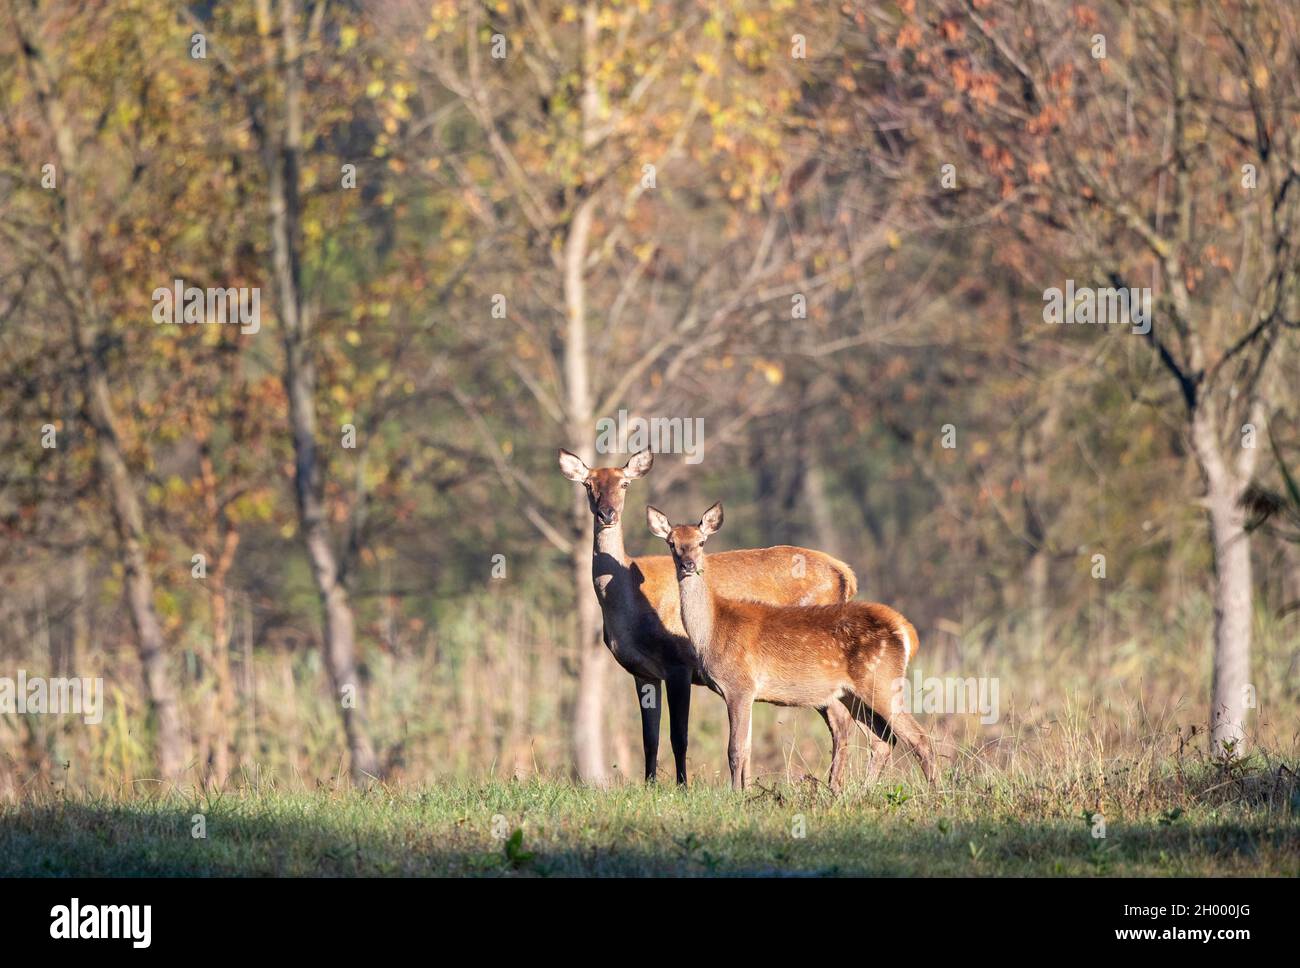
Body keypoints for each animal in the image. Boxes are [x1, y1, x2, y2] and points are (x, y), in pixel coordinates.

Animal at [558, 448, 862, 785]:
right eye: (588, 484)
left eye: (624, 483)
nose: (607, 514)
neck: (628, 614)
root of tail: (846, 573)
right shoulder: (643, 673)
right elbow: (649, 739)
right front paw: (650, 785)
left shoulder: (678, 663)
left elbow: (679, 736)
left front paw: (682, 786)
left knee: (843, 720)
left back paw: (835, 784)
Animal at [647, 501, 937, 792]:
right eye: (672, 543)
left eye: (702, 542)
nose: (688, 565)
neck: (714, 627)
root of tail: (907, 631)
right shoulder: (746, 693)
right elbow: (747, 748)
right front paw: (745, 792)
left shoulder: (739, 686)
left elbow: (735, 750)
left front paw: (735, 794)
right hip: (853, 692)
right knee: (883, 740)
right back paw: (862, 791)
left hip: (882, 681)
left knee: (919, 738)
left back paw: (934, 790)